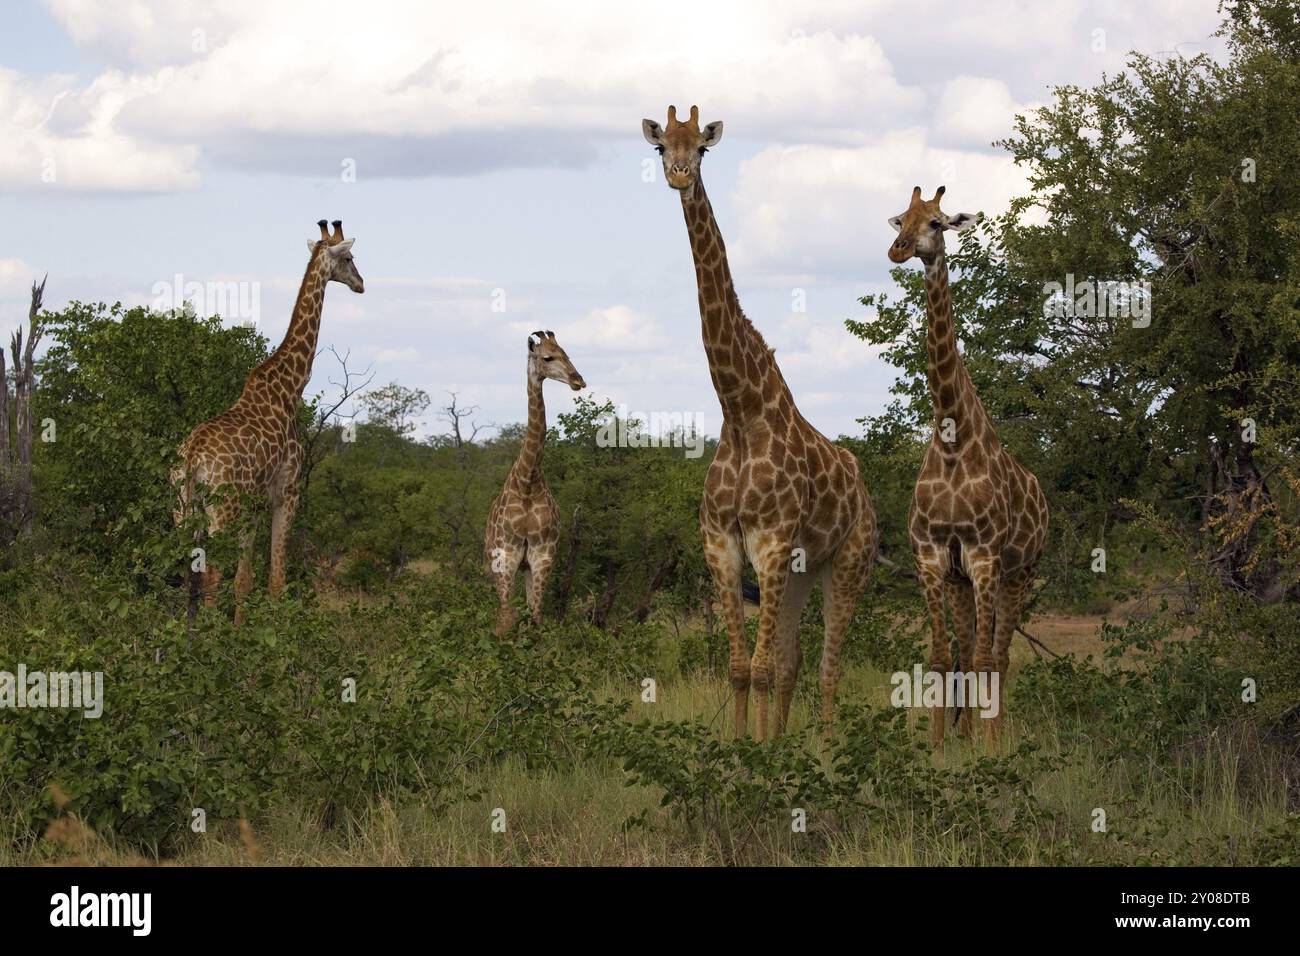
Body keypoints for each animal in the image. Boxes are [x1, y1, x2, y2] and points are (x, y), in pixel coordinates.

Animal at [174, 219, 364, 625]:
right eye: (350, 258)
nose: (361, 283)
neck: (289, 388)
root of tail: (193, 456)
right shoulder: (285, 492)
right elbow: (274, 578)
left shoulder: (253, 502)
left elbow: (244, 579)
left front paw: (240, 629)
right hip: (220, 508)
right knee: (210, 573)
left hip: (182, 506)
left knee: (187, 572)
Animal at [484, 330, 586, 636]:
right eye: (547, 357)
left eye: (566, 352)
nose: (578, 380)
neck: (527, 481)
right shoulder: (505, 557)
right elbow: (506, 619)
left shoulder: (542, 556)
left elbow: (536, 617)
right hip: (495, 563)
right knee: (502, 616)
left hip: (526, 567)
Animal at [643, 105, 877, 741]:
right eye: (661, 146)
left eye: (701, 148)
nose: (678, 174)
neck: (740, 408)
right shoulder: (721, 544)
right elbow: (741, 668)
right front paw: (744, 747)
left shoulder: (770, 545)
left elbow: (763, 666)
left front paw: (761, 753)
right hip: (802, 571)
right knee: (795, 660)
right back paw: (785, 739)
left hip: (848, 563)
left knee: (828, 666)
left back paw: (827, 747)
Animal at [886, 186, 1048, 748]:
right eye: (900, 218)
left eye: (937, 222)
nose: (898, 250)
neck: (953, 444)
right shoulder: (934, 557)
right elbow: (940, 659)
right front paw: (938, 750)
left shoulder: (983, 557)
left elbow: (981, 659)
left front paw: (984, 752)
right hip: (965, 581)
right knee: (974, 652)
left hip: (1020, 572)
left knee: (998, 658)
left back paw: (993, 739)